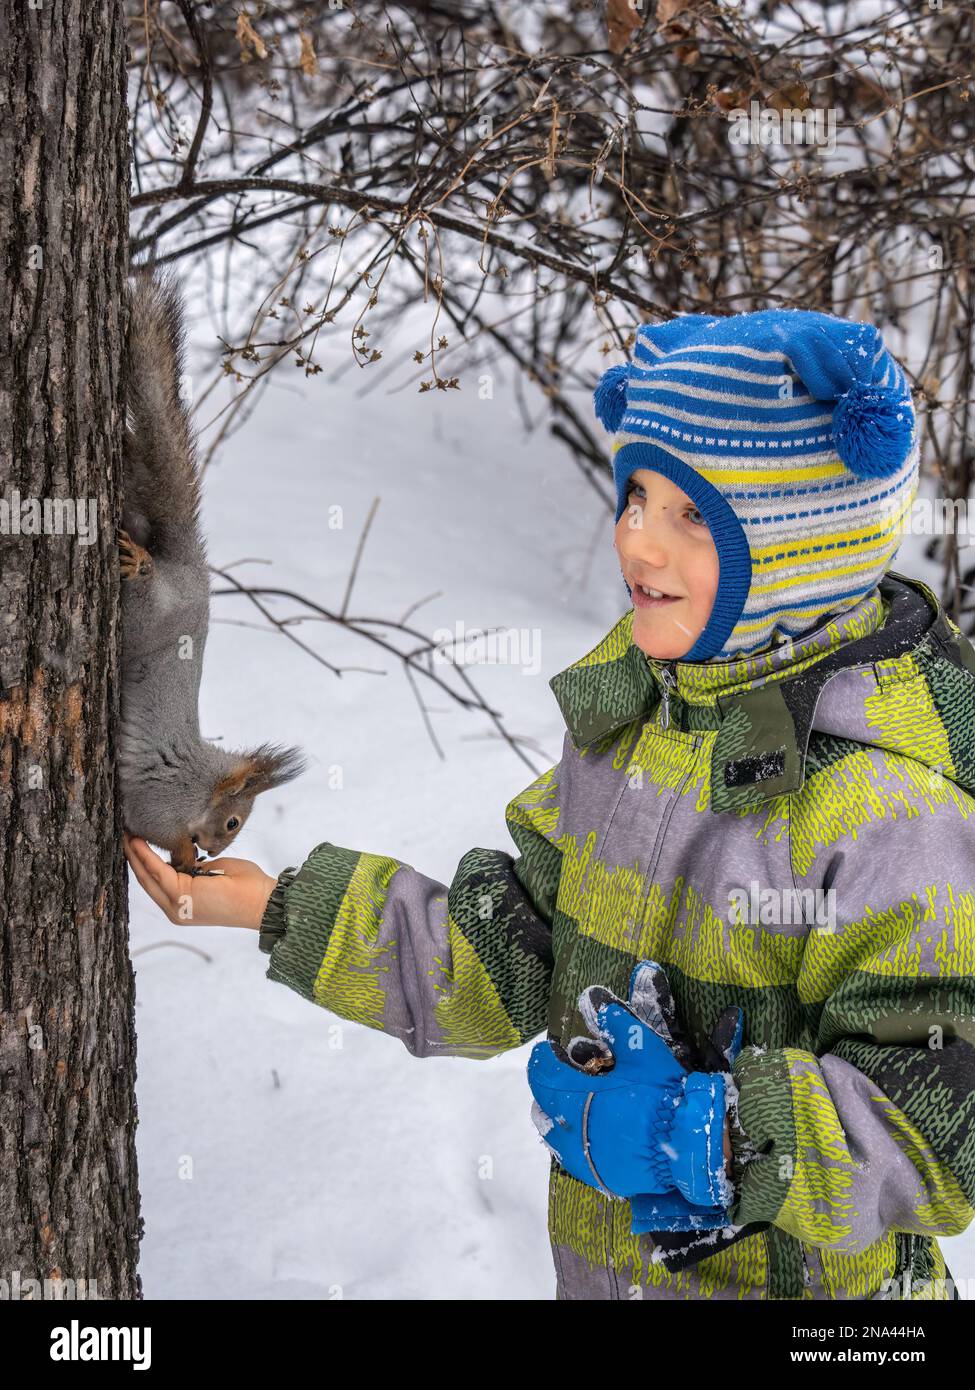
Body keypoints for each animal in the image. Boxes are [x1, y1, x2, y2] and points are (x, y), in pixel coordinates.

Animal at [118, 268, 305, 875]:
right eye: (233, 823)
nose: (217, 849)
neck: (201, 784)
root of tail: (191, 571)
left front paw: (194, 865)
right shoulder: (159, 799)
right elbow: (157, 828)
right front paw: (190, 860)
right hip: (142, 619)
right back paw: (139, 563)